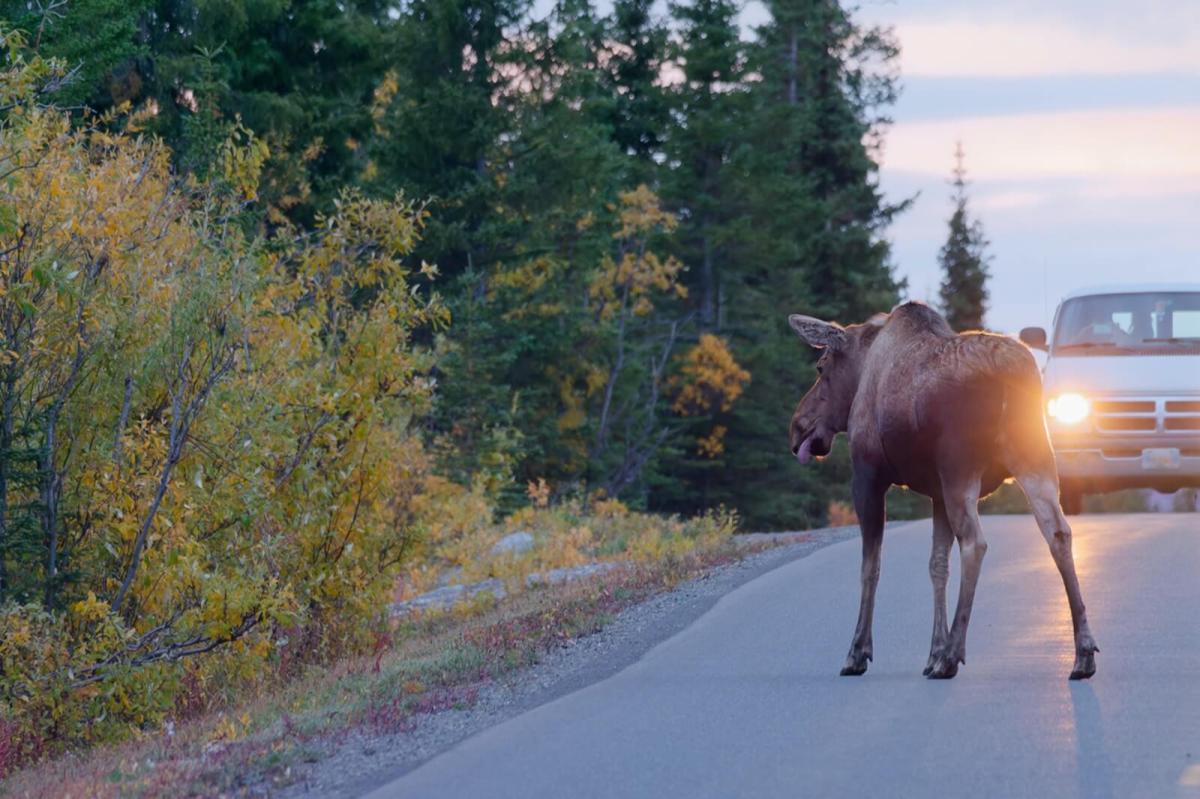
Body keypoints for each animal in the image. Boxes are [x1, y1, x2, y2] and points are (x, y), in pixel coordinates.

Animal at [788, 302, 1098, 680]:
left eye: (822, 366)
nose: (798, 427)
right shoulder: (935, 492)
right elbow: (937, 565)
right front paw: (932, 652)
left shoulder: (868, 475)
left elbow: (870, 566)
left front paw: (858, 651)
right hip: (1035, 458)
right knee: (1059, 533)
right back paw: (1083, 653)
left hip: (960, 468)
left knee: (975, 543)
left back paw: (954, 654)